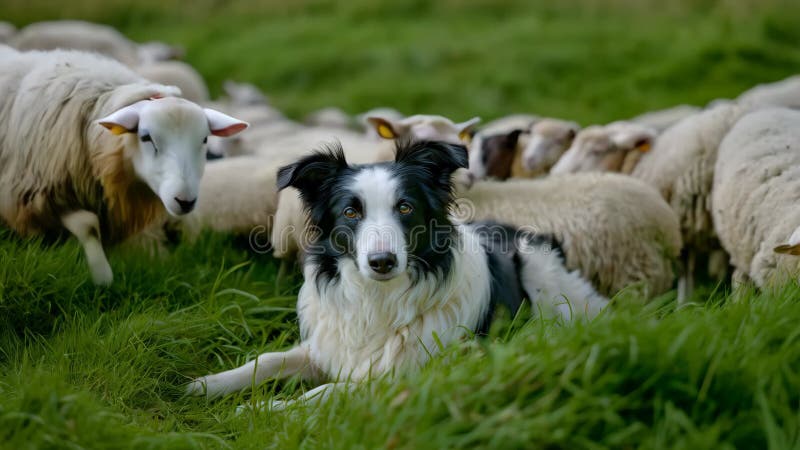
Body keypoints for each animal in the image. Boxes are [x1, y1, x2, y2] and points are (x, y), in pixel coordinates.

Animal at [0, 48, 247, 284]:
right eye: (146, 137)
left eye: (204, 139)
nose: (184, 201)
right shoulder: (43, 196)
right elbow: (88, 225)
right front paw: (102, 277)